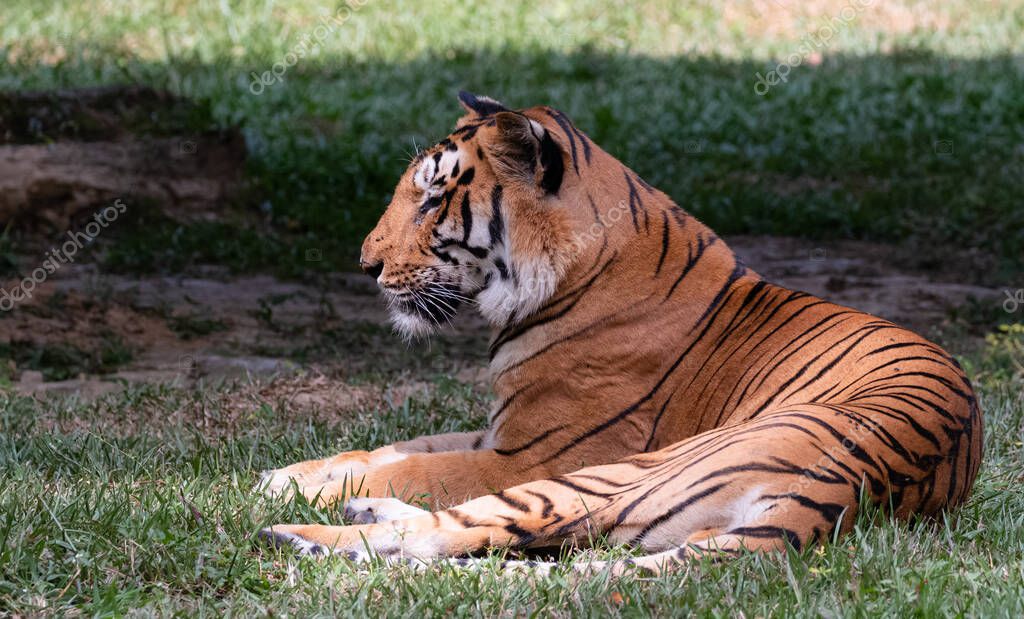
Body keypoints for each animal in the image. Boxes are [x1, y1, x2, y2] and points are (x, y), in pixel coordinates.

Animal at [258, 91, 983, 574]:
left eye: (434, 199)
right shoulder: (500, 428)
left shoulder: (531, 451)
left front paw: (286, 488)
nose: (365, 264)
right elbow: (393, 448)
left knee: (466, 529)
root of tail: (851, 485)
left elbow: (418, 467)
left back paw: (295, 534)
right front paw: (291, 472)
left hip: (616, 473)